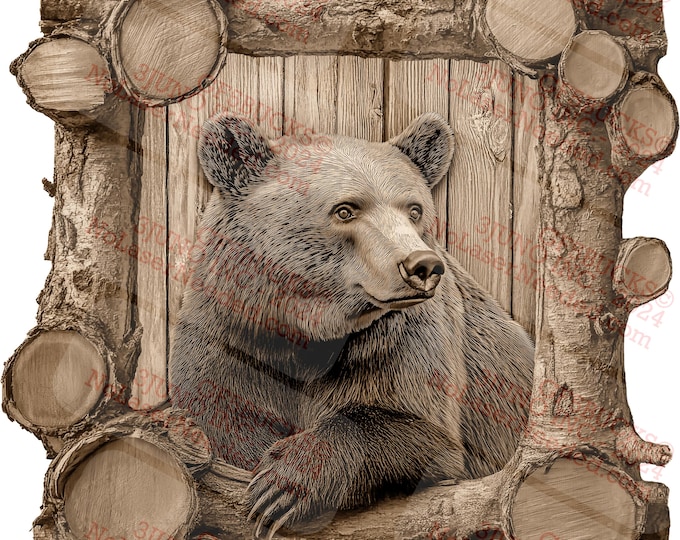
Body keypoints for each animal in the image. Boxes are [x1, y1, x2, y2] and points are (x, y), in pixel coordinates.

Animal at [169, 112, 534, 539]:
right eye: (345, 210)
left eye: (414, 210)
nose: (422, 266)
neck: (305, 333)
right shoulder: (231, 336)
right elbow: (225, 420)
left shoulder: (403, 342)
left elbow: (422, 432)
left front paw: (283, 486)